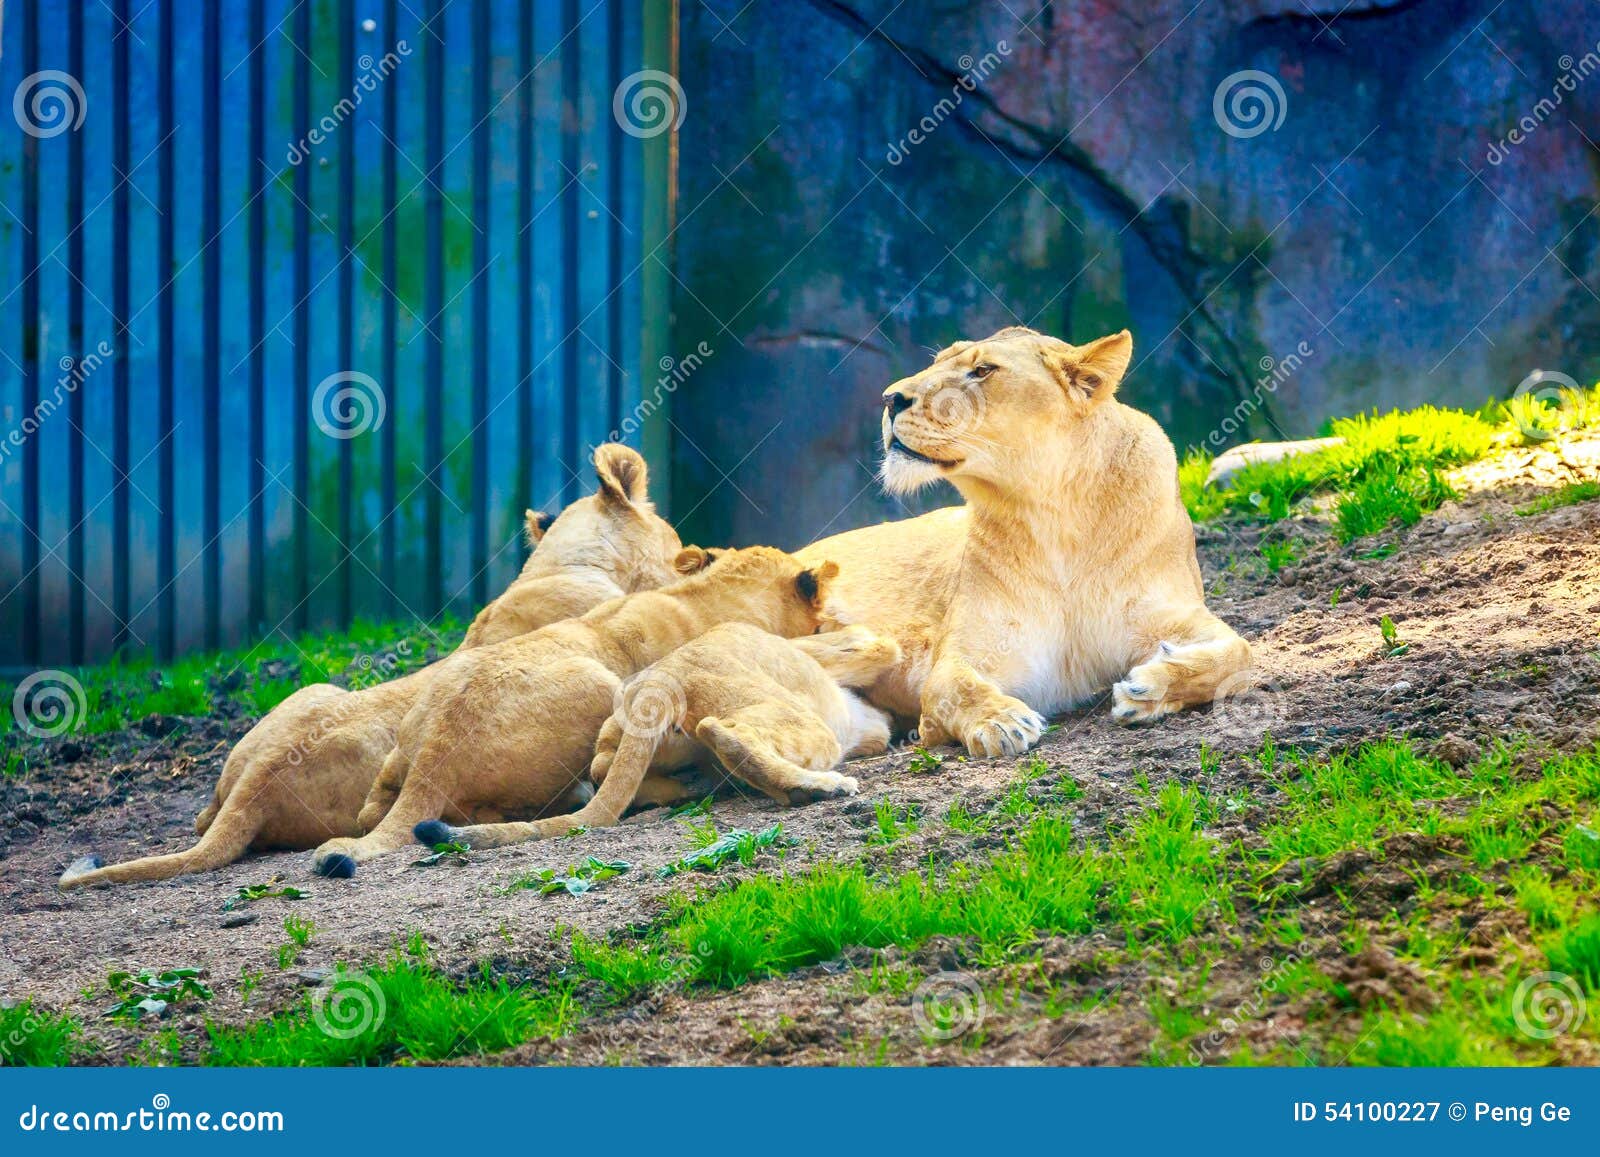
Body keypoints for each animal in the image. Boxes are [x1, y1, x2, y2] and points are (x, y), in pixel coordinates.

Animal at [415, 623, 899, 845]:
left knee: (602, 772)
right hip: (800, 720)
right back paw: (816, 787)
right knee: (726, 732)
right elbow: (882, 646)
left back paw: (690, 788)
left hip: (615, 733)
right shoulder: (850, 652)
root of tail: (658, 683)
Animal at [795, 326, 1251, 757]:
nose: (889, 399)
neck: (1055, 515)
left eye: (983, 370)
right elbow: (950, 686)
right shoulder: (966, 651)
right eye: (938, 362)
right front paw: (1001, 723)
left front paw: (1148, 687)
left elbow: (1240, 655)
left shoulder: (1176, 611)